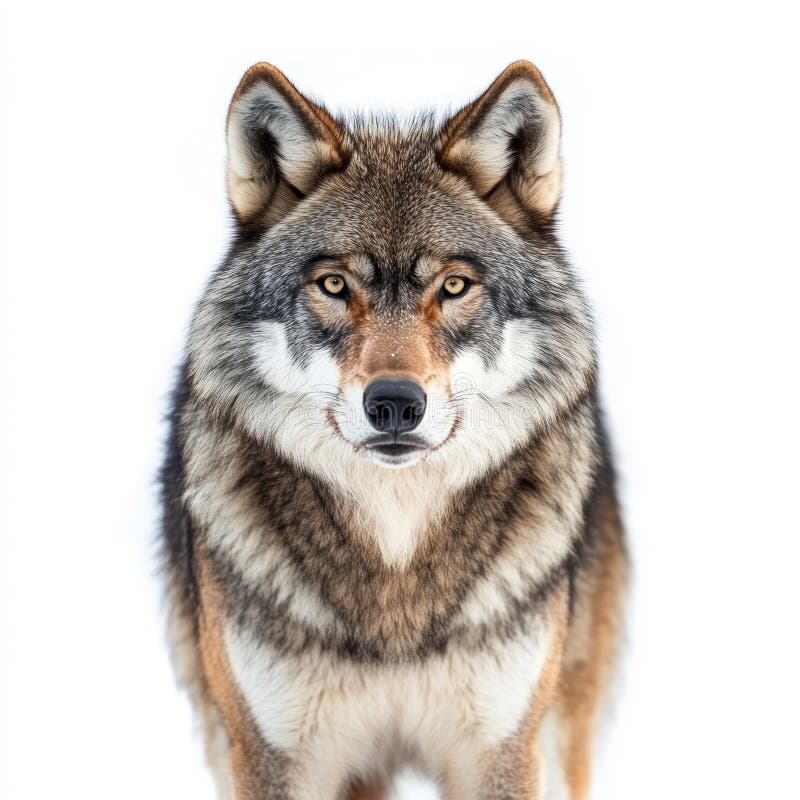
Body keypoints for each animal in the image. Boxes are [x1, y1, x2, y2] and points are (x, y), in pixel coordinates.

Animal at [160, 60, 628, 799]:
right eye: (333, 285)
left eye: (455, 286)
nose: (396, 404)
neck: (397, 564)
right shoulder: (268, 754)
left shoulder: (503, 751)